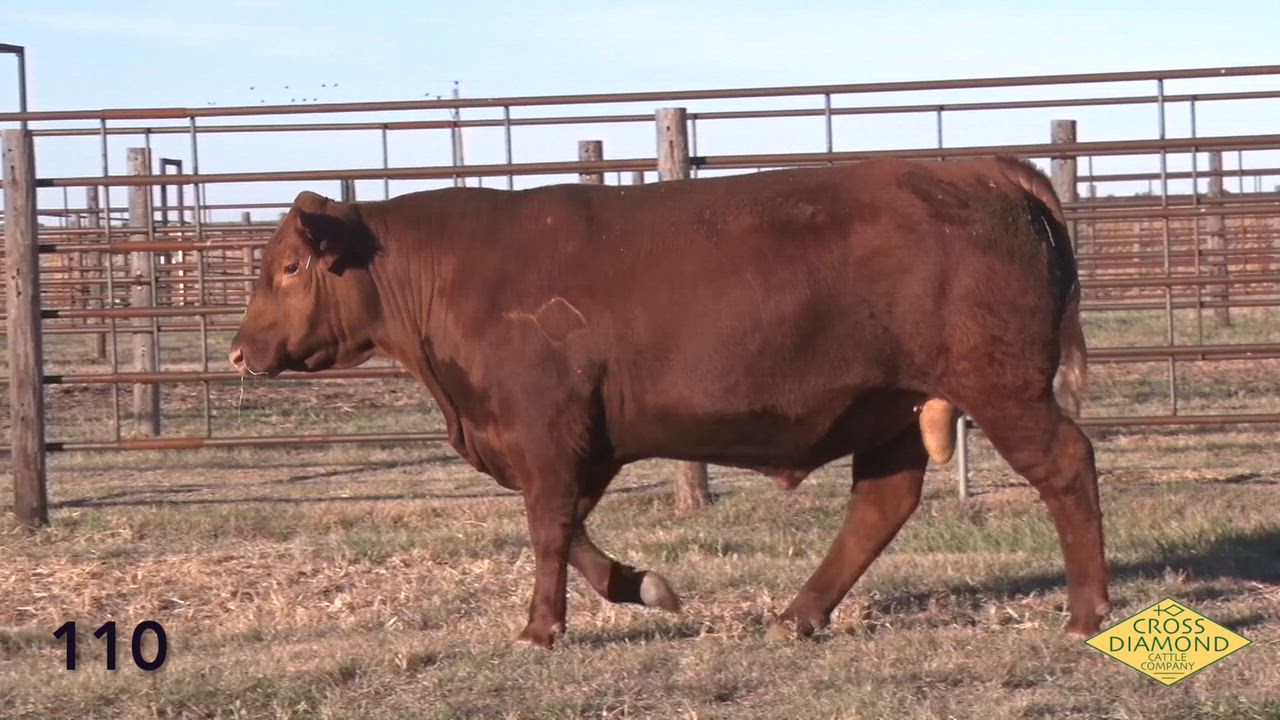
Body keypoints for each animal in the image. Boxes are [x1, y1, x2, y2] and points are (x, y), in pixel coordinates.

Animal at [229, 157, 1109, 648]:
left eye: (289, 269)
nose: (239, 350)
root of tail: (987, 168)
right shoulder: (585, 440)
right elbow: (570, 532)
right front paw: (641, 585)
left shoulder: (548, 427)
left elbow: (548, 529)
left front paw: (539, 629)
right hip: (891, 402)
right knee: (881, 504)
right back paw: (799, 614)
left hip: (1001, 385)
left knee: (1067, 463)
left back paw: (1087, 612)